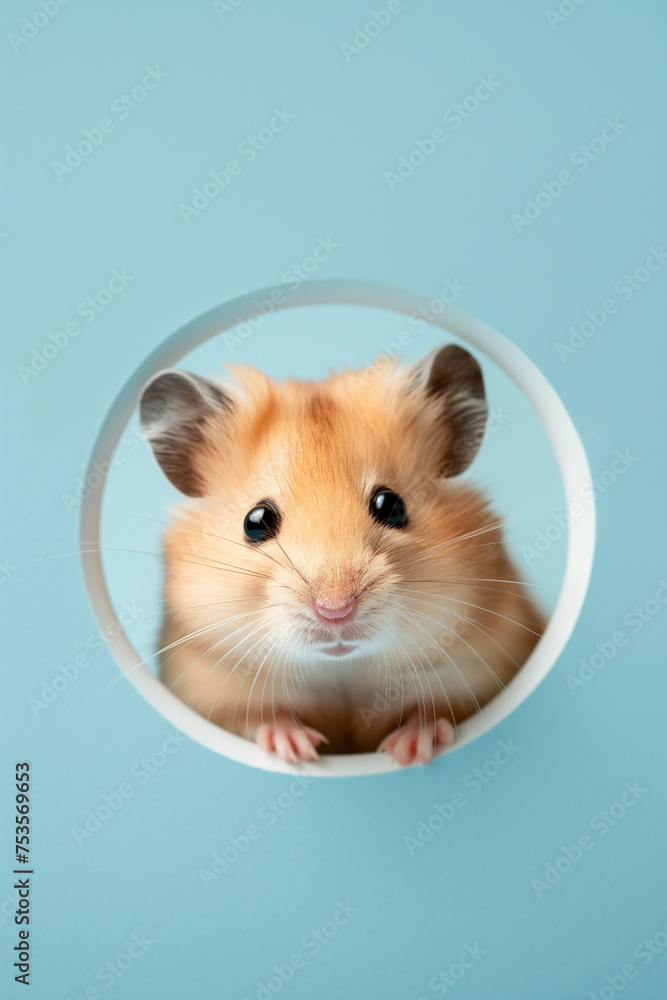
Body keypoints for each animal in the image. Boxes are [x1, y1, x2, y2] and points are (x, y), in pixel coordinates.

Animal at [139, 344, 545, 766]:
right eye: (256, 521)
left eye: (391, 505)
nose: (335, 611)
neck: (342, 668)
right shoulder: (204, 683)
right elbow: (255, 718)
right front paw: (298, 748)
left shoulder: (486, 661)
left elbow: (438, 709)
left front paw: (410, 748)